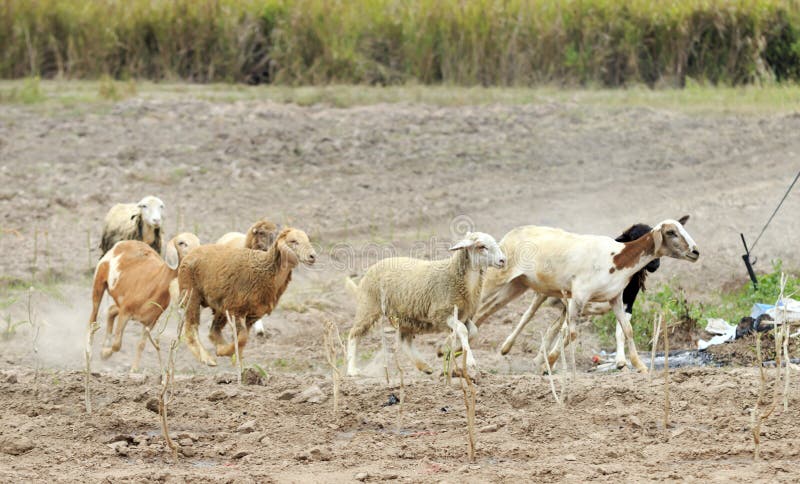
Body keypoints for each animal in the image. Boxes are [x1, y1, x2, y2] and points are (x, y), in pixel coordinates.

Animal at [88, 232, 200, 372]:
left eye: (198, 242)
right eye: (181, 243)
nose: (197, 254)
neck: (155, 282)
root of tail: (122, 243)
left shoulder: (150, 321)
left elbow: (141, 344)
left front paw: (134, 370)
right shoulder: (125, 312)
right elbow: (117, 344)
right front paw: (104, 354)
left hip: (121, 301)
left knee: (111, 310)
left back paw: (104, 344)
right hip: (99, 281)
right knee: (93, 318)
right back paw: (89, 352)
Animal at [178, 227, 317, 366]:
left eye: (308, 239)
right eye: (293, 241)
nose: (313, 256)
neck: (266, 272)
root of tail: (192, 252)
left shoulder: (252, 314)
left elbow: (242, 340)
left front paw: (236, 360)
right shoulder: (236, 309)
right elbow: (243, 337)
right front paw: (227, 353)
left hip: (221, 304)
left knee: (214, 329)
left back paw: (220, 347)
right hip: (191, 294)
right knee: (191, 328)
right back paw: (207, 358)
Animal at [346, 232, 506, 377]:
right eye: (481, 246)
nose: (503, 260)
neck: (455, 276)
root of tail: (374, 266)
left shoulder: (463, 315)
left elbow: (473, 331)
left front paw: (444, 350)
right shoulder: (441, 313)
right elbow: (463, 330)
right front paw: (470, 361)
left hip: (406, 316)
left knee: (404, 340)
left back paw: (424, 367)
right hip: (369, 306)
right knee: (354, 335)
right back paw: (352, 370)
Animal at [477, 218, 698, 373]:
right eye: (671, 232)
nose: (696, 252)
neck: (617, 259)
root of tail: (514, 232)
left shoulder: (617, 299)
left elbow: (627, 330)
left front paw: (639, 366)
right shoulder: (578, 298)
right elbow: (571, 333)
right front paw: (548, 364)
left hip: (517, 285)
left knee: (483, 313)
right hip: (497, 278)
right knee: (498, 312)